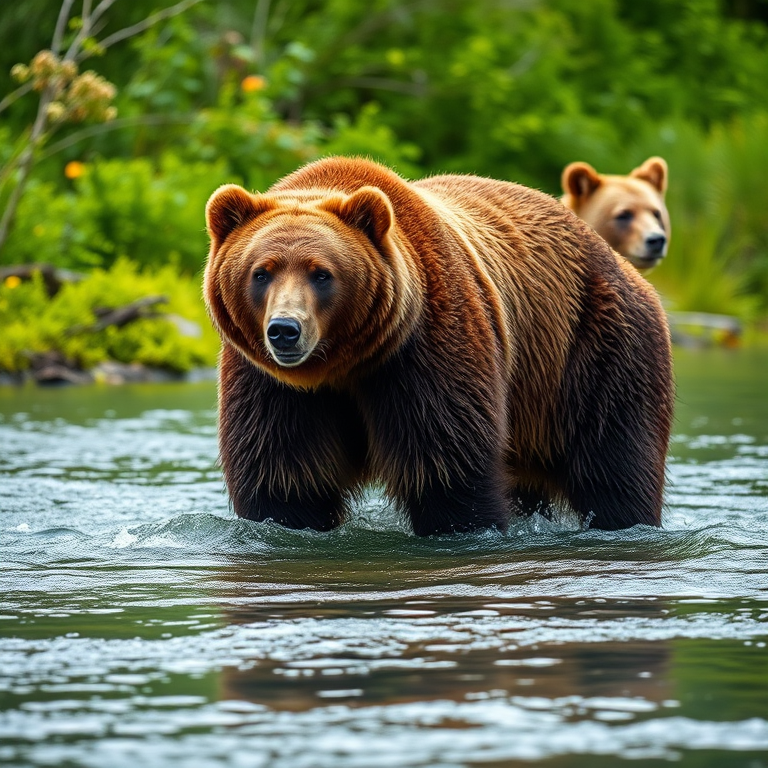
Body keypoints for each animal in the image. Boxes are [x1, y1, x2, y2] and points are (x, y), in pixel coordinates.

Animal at [204, 157, 673, 535]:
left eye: (322, 273)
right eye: (261, 272)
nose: (285, 329)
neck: (344, 364)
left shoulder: (427, 346)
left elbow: (448, 468)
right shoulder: (272, 386)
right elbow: (283, 477)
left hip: (594, 347)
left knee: (615, 460)